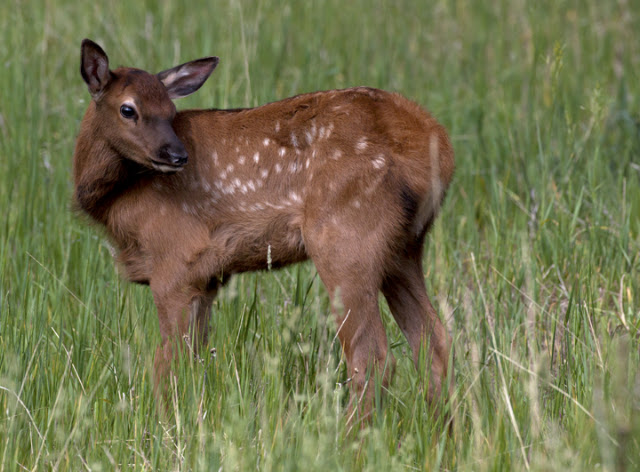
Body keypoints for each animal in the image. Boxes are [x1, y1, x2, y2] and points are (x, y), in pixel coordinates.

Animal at [73, 38, 455, 424]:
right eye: (128, 109)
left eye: (170, 110)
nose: (177, 155)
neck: (118, 200)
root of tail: (434, 142)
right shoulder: (207, 278)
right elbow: (195, 362)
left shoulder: (175, 263)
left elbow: (167, 365)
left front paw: (167, 428)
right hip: (404, 247)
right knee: (433, 340)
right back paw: (441, 431)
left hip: (346, 238)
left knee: (373, 356)